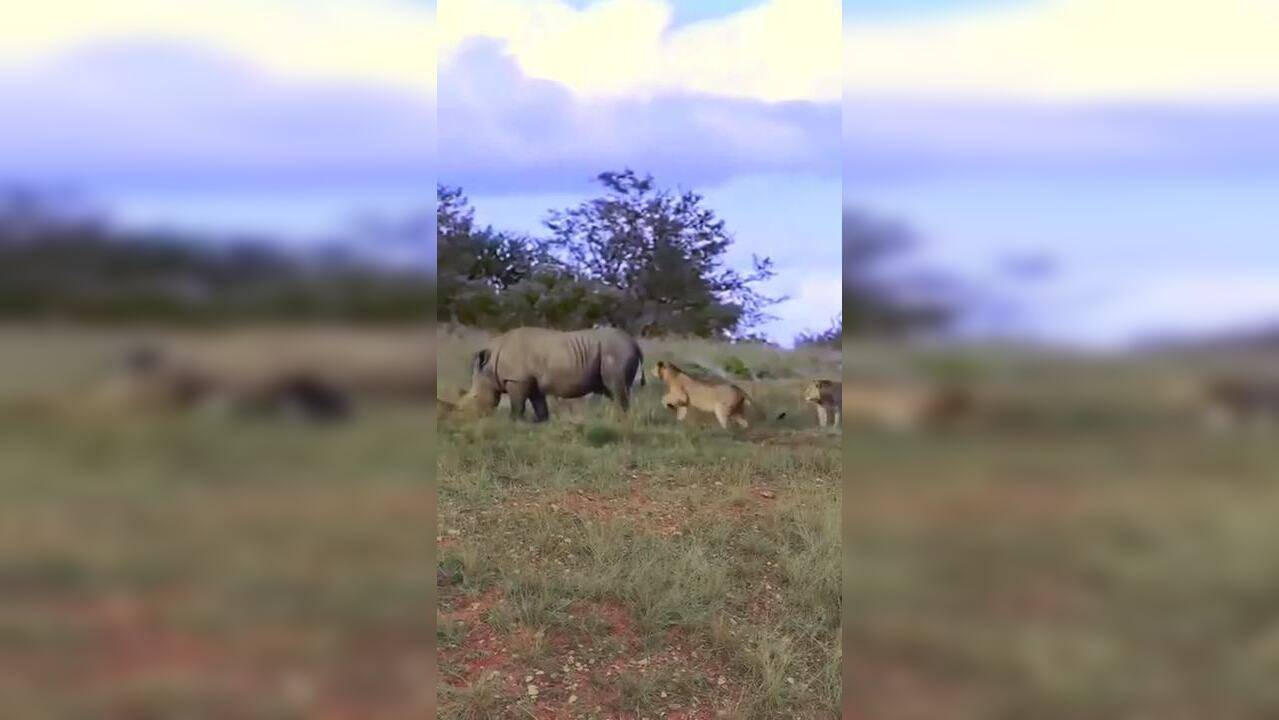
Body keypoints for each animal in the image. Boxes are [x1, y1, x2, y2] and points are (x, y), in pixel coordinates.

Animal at [464, 327, 645, 421]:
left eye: (475, 397)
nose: (474, 417)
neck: (490, 363)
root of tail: (634, 343)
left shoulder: (516, 380)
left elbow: (517, 405)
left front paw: (513, 422)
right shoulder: (531, 382)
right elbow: (539, 404)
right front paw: (540, 422)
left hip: (617, 351)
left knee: (616, 387)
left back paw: (619, 420)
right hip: (617, 350)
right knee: (615, 390)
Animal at [651, 361, 783, 429]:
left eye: (653, 368)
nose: (650, 371)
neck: (671, 374)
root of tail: (738, 388)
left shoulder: (681, 396)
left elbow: (664, 398)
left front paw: (668, 406)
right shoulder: (684, 402)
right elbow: (681, 412)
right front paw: (679, 423)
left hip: (721, 408)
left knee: (725, 423)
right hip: (737, 411)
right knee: (744, 422)